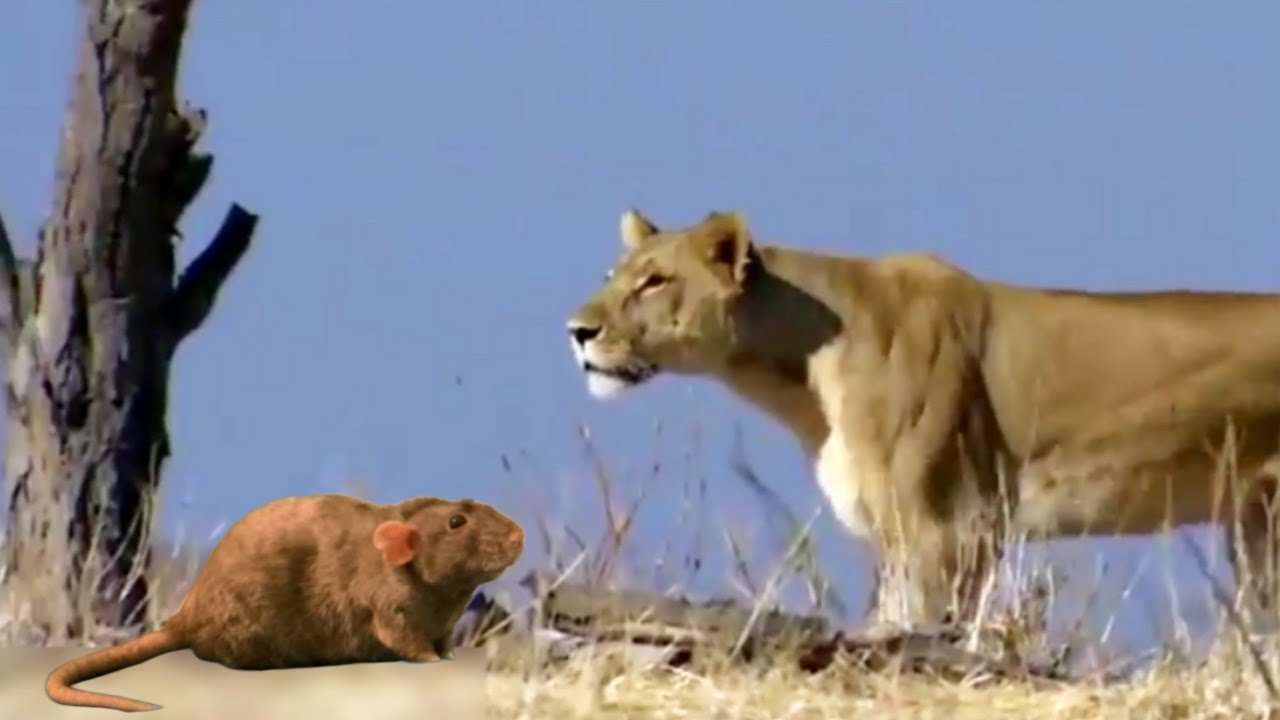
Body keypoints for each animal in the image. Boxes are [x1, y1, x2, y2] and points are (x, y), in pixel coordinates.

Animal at [565, 208, 1280, 635]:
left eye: (655, 281)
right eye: (612, 275)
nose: (577, 330)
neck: (800, 369)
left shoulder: (953, 525)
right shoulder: (900, 534)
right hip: (1258, 526)